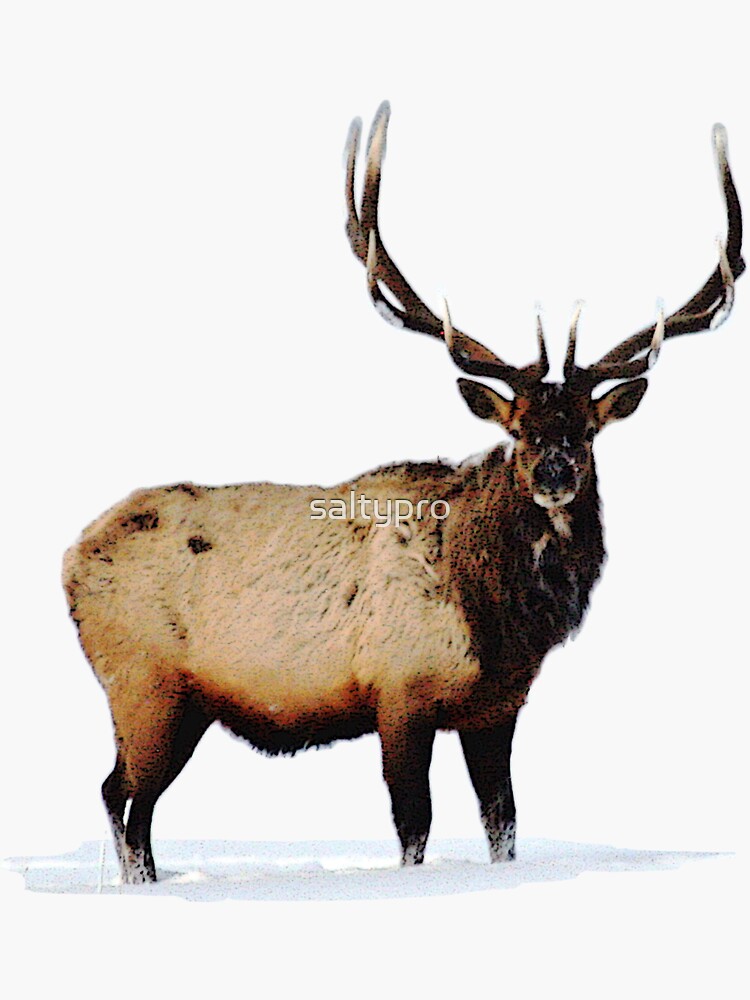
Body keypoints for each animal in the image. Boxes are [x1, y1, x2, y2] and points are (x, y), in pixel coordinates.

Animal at [63, 102, 743, 884]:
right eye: (518, 428)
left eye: (587, 431)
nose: (554, 473)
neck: (499, 617)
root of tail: (68, 557)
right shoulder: (399, 691)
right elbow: (413, 827)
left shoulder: (496, 707)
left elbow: (504, 826)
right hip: (143, 684)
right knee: (121, 796)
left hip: (177, 704)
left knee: (128, 801)